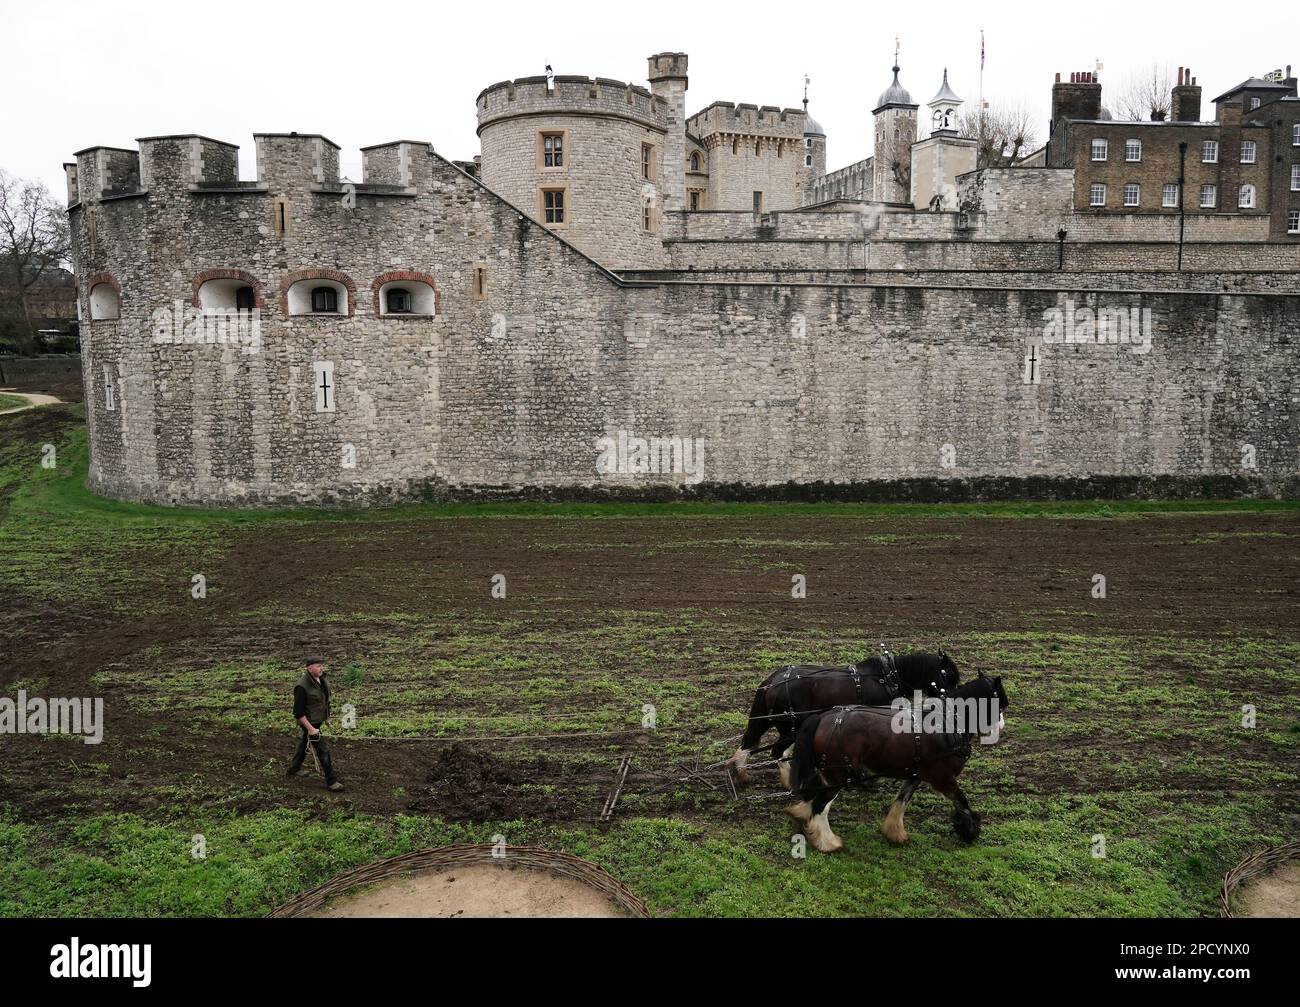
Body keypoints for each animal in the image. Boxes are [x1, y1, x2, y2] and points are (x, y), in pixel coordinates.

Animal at [729, 650, 960, 784]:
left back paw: (743, 773)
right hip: (791, 726)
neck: (886, 677)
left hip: (771, 721)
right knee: (776, 751)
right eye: (949, 675)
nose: (954, 703)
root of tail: (772, 681)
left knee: (751, 744)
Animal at [783, 671, 1009, 853]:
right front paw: (969, 830)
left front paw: (894, 832)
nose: (1001, 727)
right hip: (838, 776)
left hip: (827, 773)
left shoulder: (915, 775)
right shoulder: (944, 779)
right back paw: (827, 843)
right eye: (1001, 701)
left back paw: (802, 818)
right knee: (820, 806)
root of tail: (823, 718)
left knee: (811, 796)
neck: (947, 724)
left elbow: (902, 801)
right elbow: (962, 803)